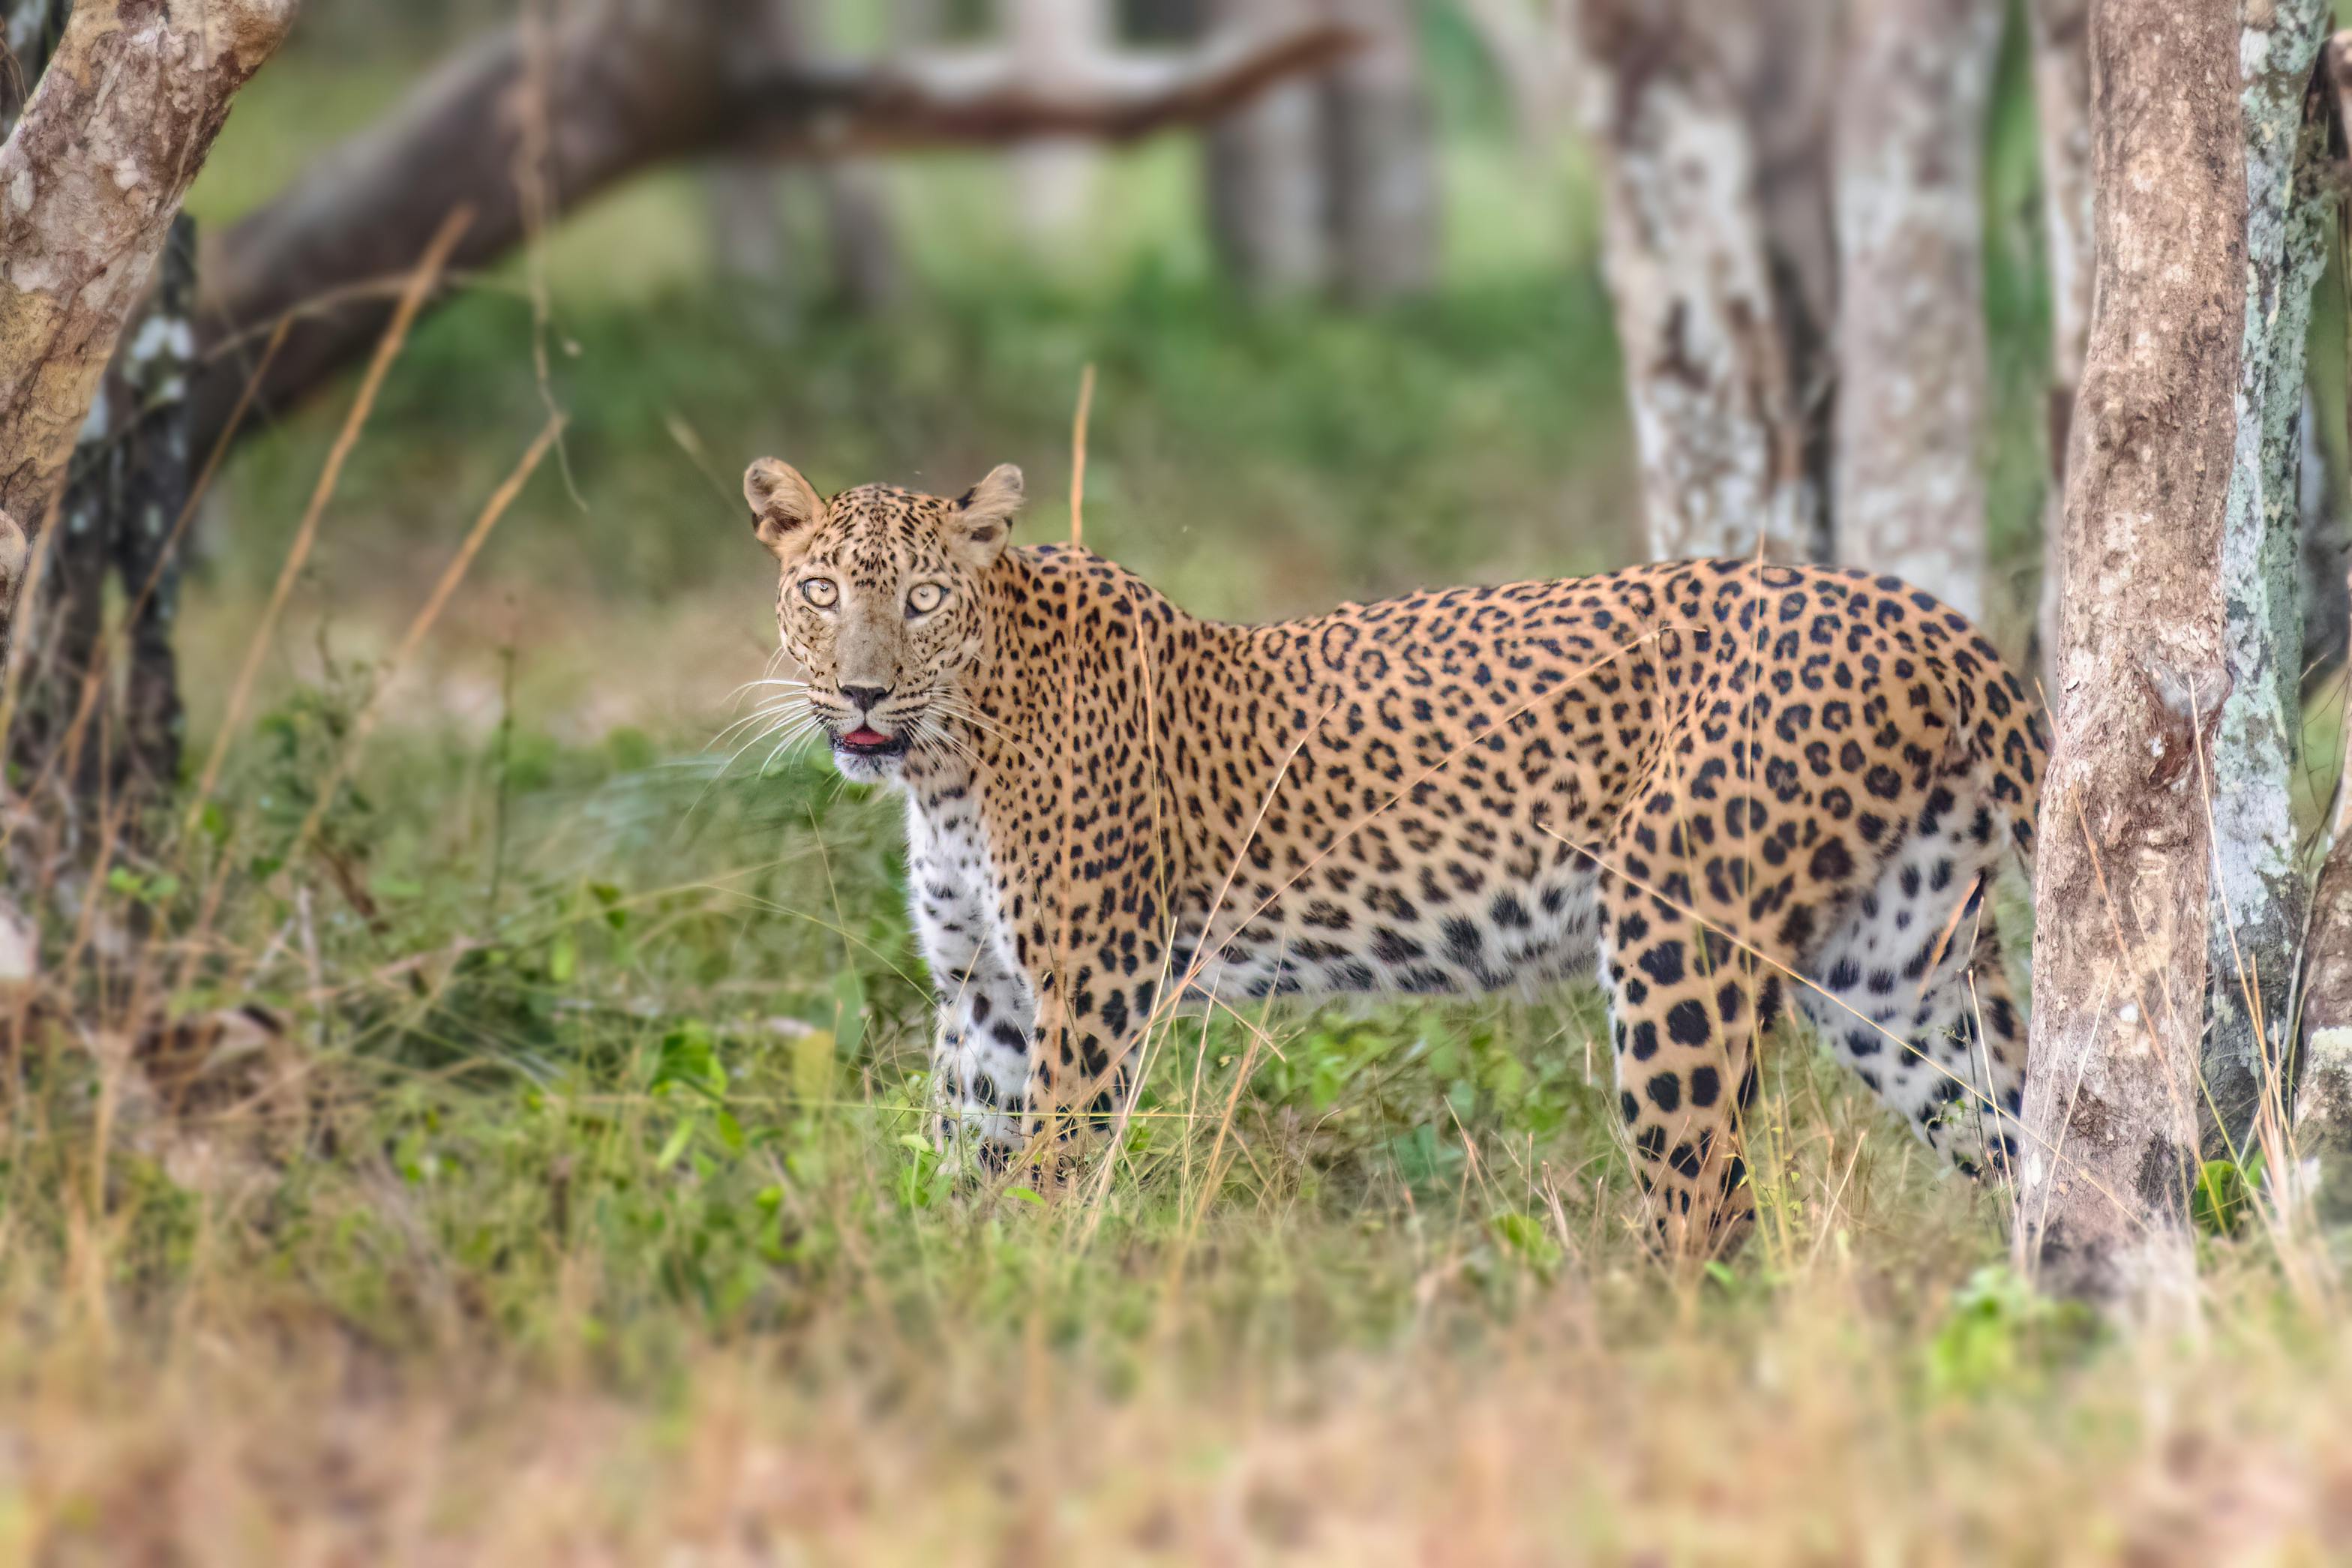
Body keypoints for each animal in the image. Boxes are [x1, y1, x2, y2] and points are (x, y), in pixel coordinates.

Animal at [736, 456, 2046, 1253]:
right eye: (820, 590)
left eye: (920, 598)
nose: (863, 692)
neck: (946, 761)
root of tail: (1935, 623)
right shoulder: (987, 995)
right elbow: (955, 1158)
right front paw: (949, 1279)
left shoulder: (1091, 983)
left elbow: (1055, 1165)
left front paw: (1040, 1304)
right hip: (1898, 968)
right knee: (2034, 1140)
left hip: (1679, 942)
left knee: (1705, 1206)